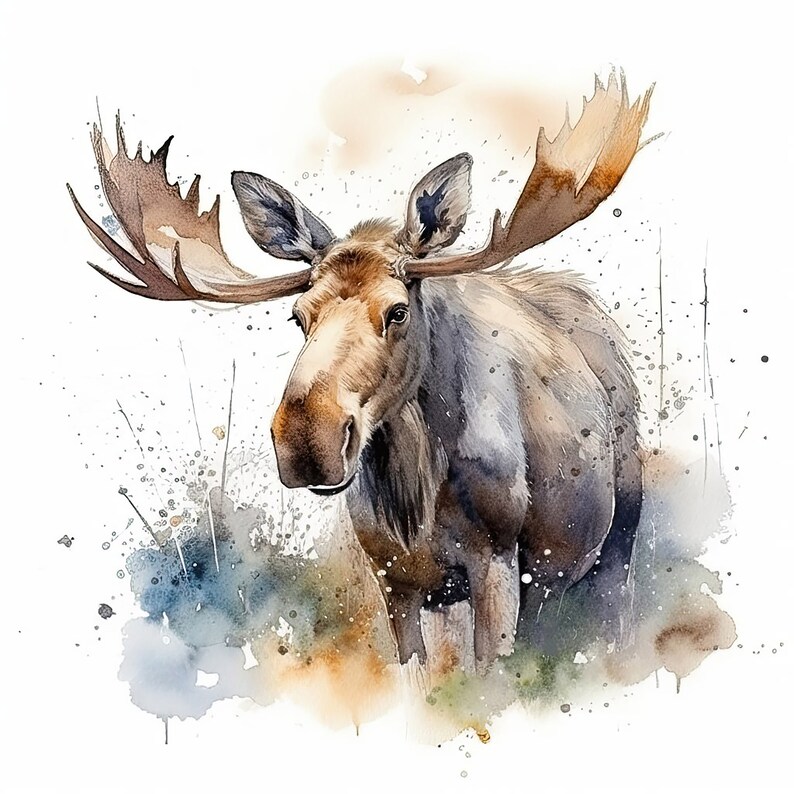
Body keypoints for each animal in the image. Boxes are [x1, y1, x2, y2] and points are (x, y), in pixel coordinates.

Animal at [68, 73, 652, 675]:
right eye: (298, 316)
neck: (417, 497)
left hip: (617, 543)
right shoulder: (394, 581)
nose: (306, 438)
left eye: (396, 311)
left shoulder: (497, 561)